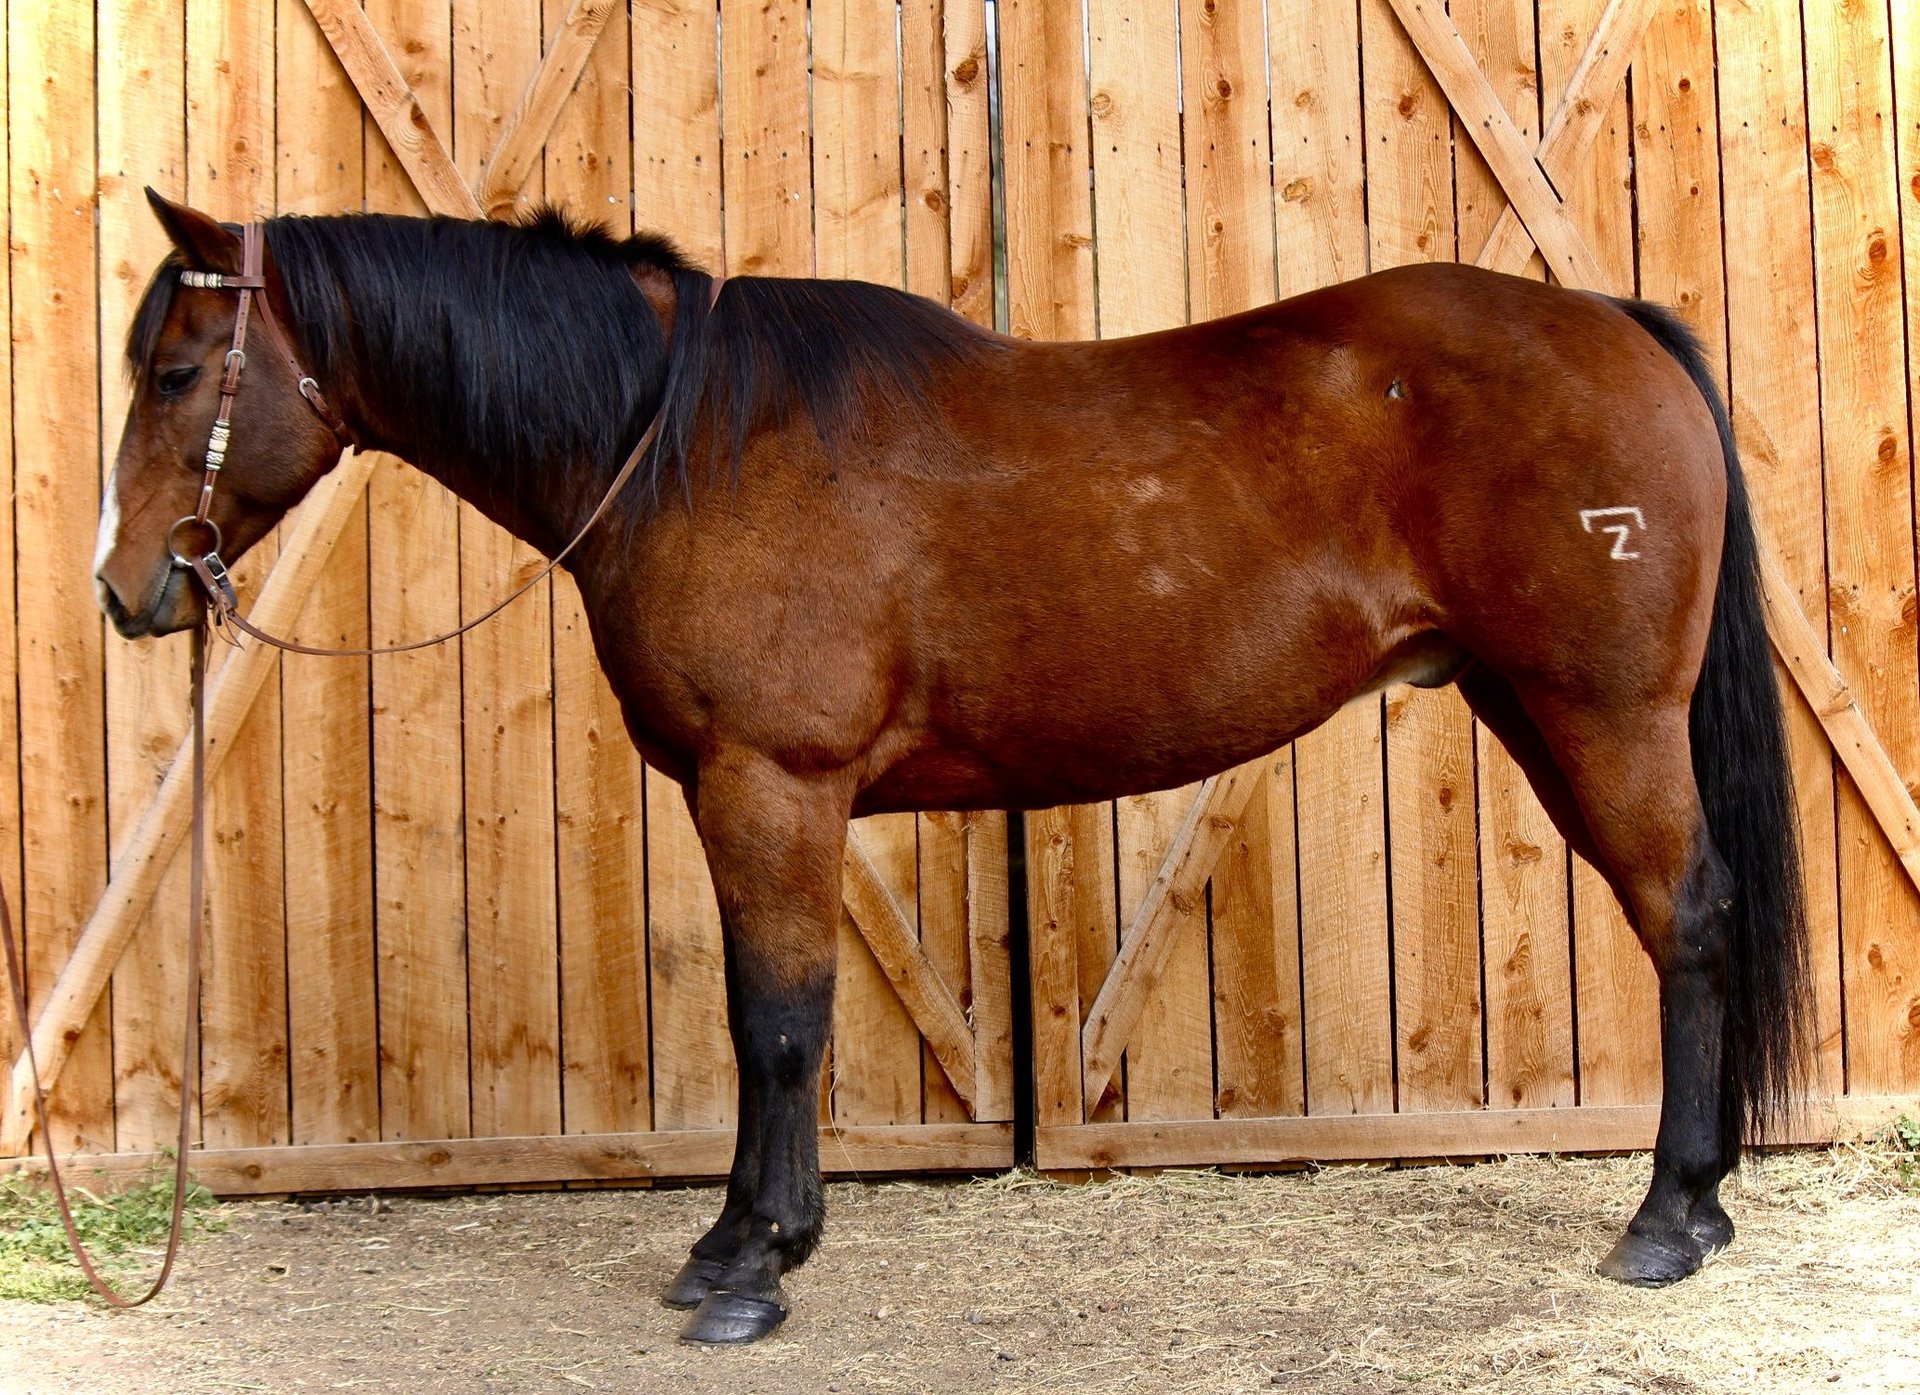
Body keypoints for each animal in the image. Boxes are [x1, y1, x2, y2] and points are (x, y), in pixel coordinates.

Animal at [97, 190, 1810, 1344]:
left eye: (177, 371)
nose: (127, 589)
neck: (681, 436)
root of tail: (1616, 325)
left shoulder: (772, 784)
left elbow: (779, 1022)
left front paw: (749, 1266)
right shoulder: (747, 794)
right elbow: (766, 1019)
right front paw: (747, 1240)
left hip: (1602, 716)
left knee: (1692, 922)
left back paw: (1671, 1213)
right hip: (1542, 710)